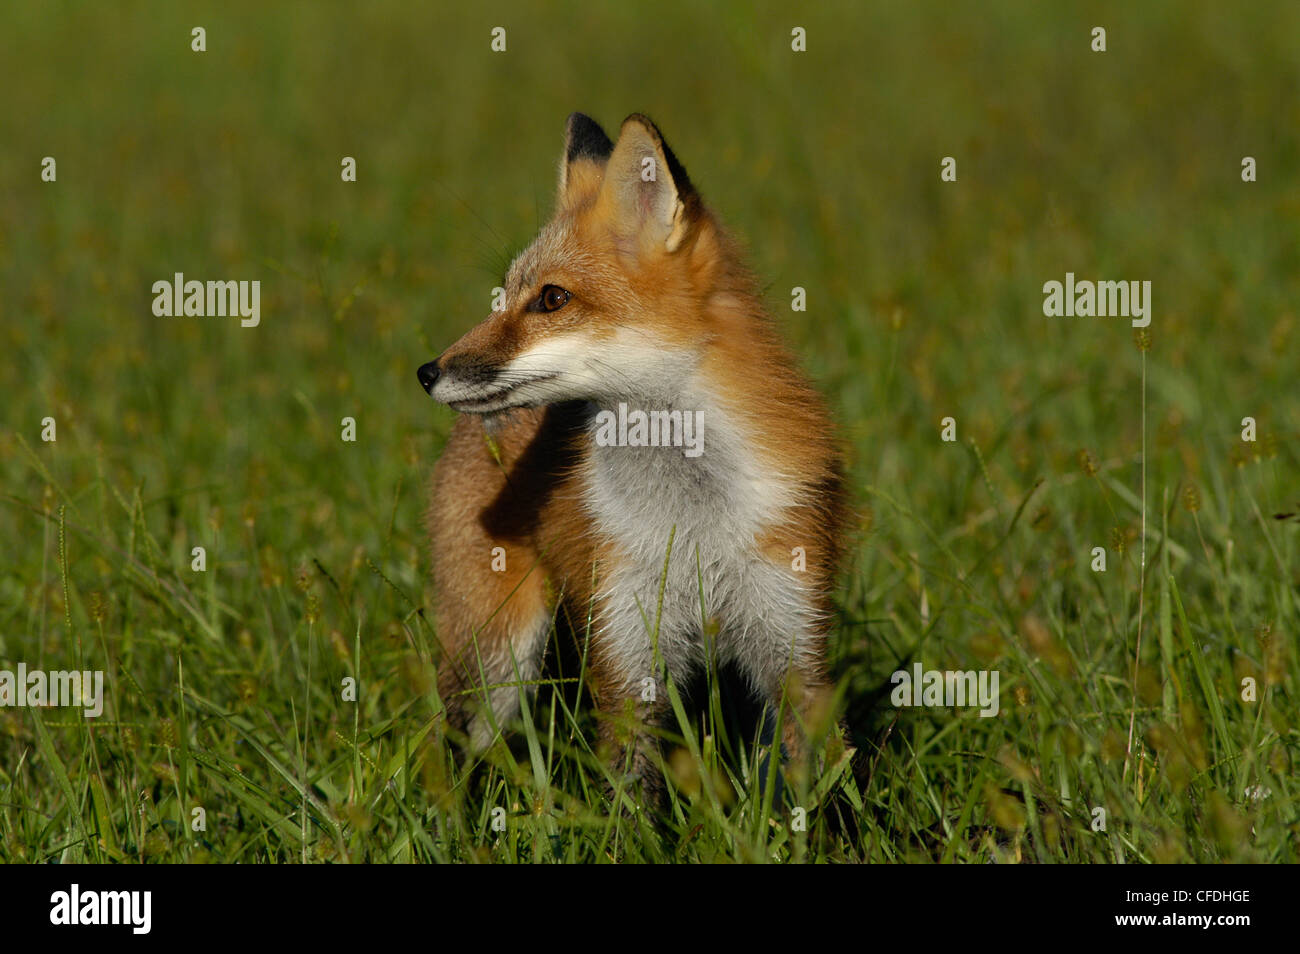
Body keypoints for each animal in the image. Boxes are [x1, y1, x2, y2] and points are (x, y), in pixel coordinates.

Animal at [418, 112, 848, 800]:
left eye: (552, 299)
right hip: (498, 655)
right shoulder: (626, 651)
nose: (427, 372)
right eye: (504, 295)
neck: (694, 520)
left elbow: (820, 795)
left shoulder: (794, 647)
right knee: (457, 752)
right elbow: (629, 799)